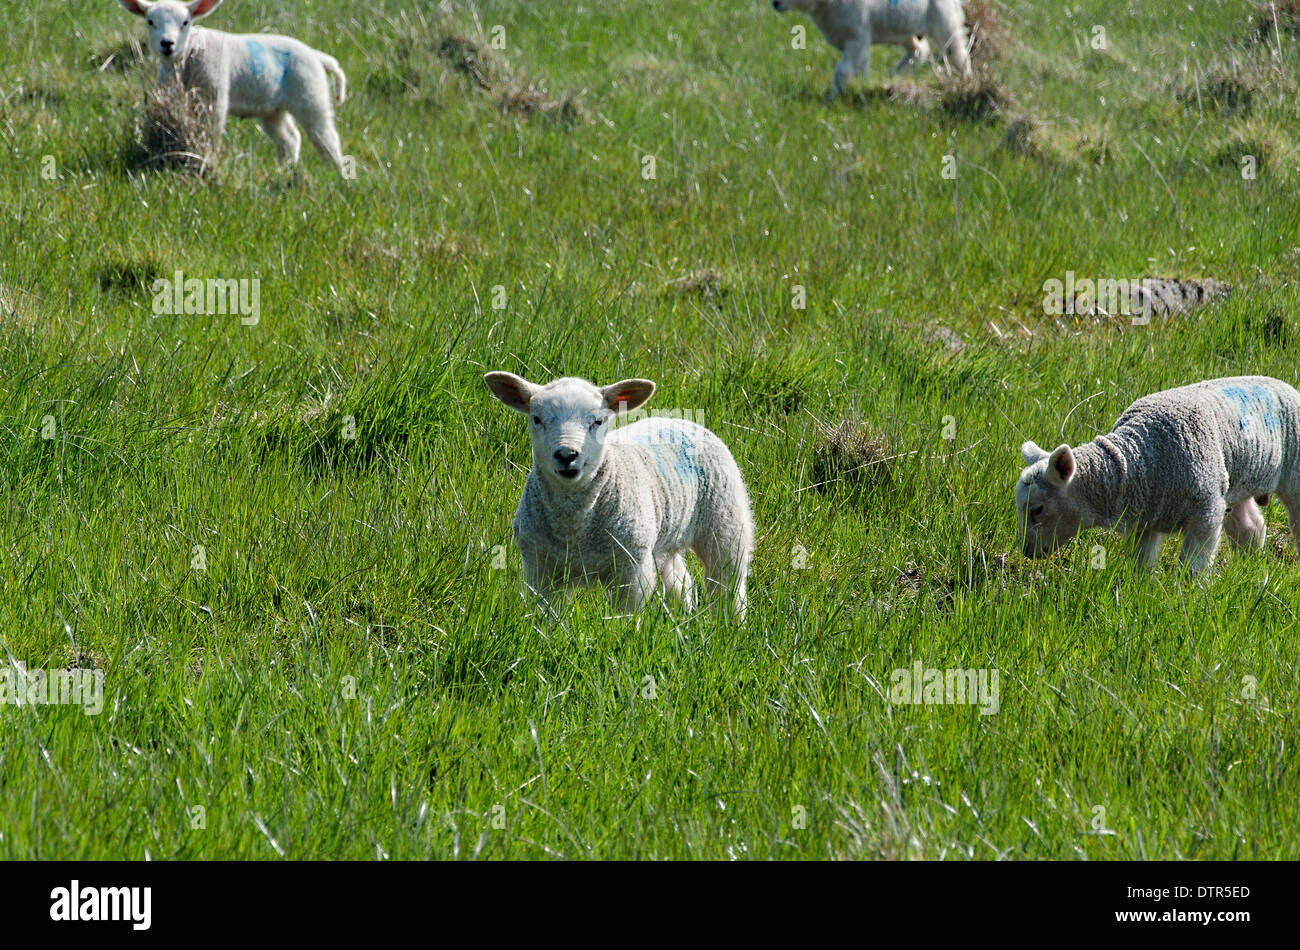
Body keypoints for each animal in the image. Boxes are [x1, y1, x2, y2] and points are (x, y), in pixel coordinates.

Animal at [116, 0, 347, 171]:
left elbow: (211, 131)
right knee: (289, 138)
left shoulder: (213, 97)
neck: (186, 57)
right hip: (272, 108)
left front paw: (207, 160)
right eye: (150, 21)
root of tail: (317, 55)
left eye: (185, 22)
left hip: (310, 94)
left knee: (326, 137)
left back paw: (339, 175)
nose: (167, 44)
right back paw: (284, 172)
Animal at [484, 372, 755, 618]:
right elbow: (544, 618)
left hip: (726, 522)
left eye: (598, 421)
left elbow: (626, 618)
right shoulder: (539, 570)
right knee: (680, 580)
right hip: (662, 540)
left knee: (729, 583)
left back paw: (729, 627)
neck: (575, 527)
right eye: (537, 419)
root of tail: (680, 419)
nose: (566, 455)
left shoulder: (631, 570)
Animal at [770, 0, 971, 96]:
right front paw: (863, 86)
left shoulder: (857, 36)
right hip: (903, 27)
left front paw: (835, 96)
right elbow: (861, 66)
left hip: (944, 23)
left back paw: (966, 81)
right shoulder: (858, 40)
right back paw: (896, 74)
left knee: (958, 53)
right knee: (919, 49)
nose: (775, 3)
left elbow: (842, 70)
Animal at [1015, 376, 1300, 574]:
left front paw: (1189, 597)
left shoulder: (1206, 511)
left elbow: (1192, 566)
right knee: (1250, 527)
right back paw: (1249, 565)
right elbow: (1140, 565)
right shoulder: (1145, 518)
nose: (1027, 552)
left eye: (1038, 510)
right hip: (1235, 480)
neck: (1135, 463)